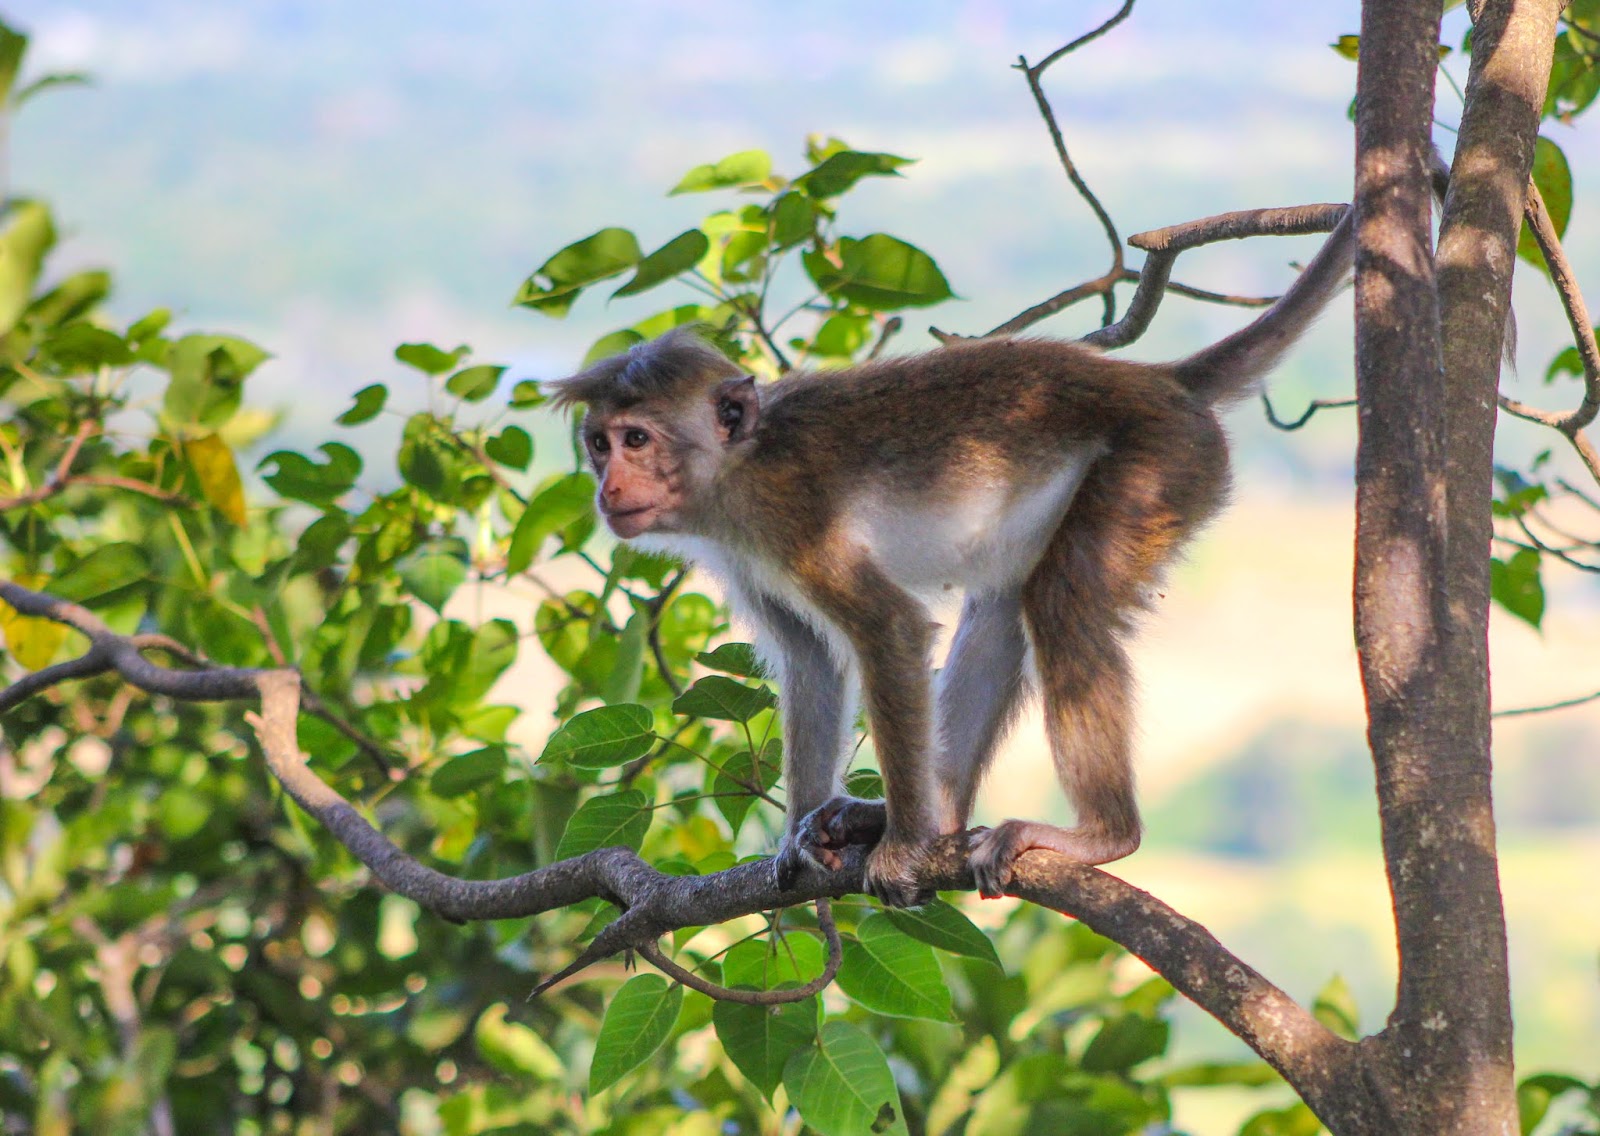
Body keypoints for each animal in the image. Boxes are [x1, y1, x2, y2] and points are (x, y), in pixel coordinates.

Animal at [545, 209, 1354, 907]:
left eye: (638, 439)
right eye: (599, 443)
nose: (608, 488)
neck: (740, 466)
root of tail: (1162, 380)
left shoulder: (791, 516)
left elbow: (889, 630)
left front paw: (903, 849)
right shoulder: (742, 551)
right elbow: (810, 658)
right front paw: (800, 839)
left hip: (1157, 466)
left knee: (1059, 601)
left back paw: (1093, 836)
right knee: (1004, 605)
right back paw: (926, 815)